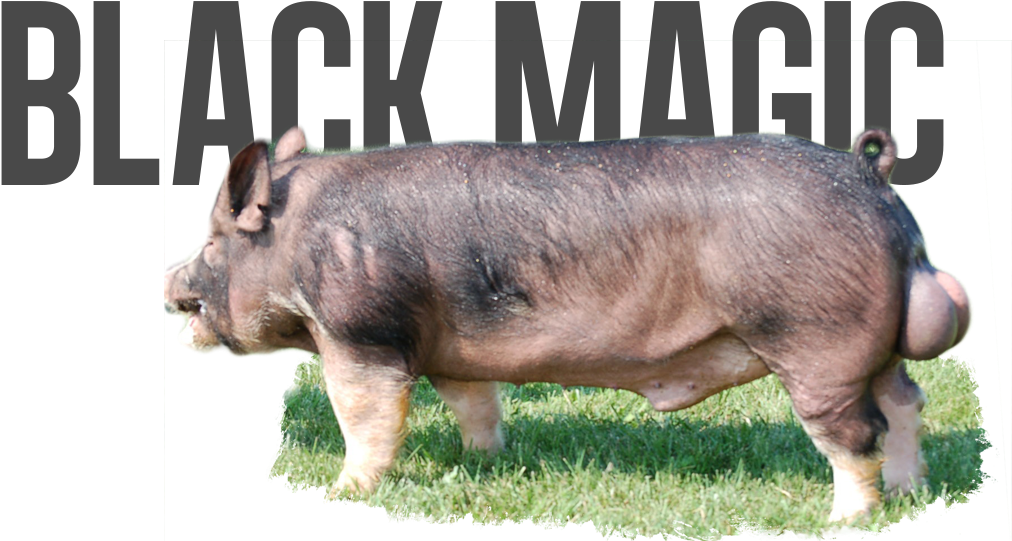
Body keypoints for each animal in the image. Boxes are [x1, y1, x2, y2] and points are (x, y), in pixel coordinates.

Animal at [164, 125, 973, 522]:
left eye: (213, 239)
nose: (169, 276)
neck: (298, 239)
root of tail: (869, 173)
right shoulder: (449, 346)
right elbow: (474, 400)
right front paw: (485, 461)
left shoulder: (362, 332)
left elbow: (364, 414)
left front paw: (344, 491)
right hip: (873, 349)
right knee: (907, 402)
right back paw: (908, 492)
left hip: (814, 339)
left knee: (857, 431)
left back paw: (845, 517)